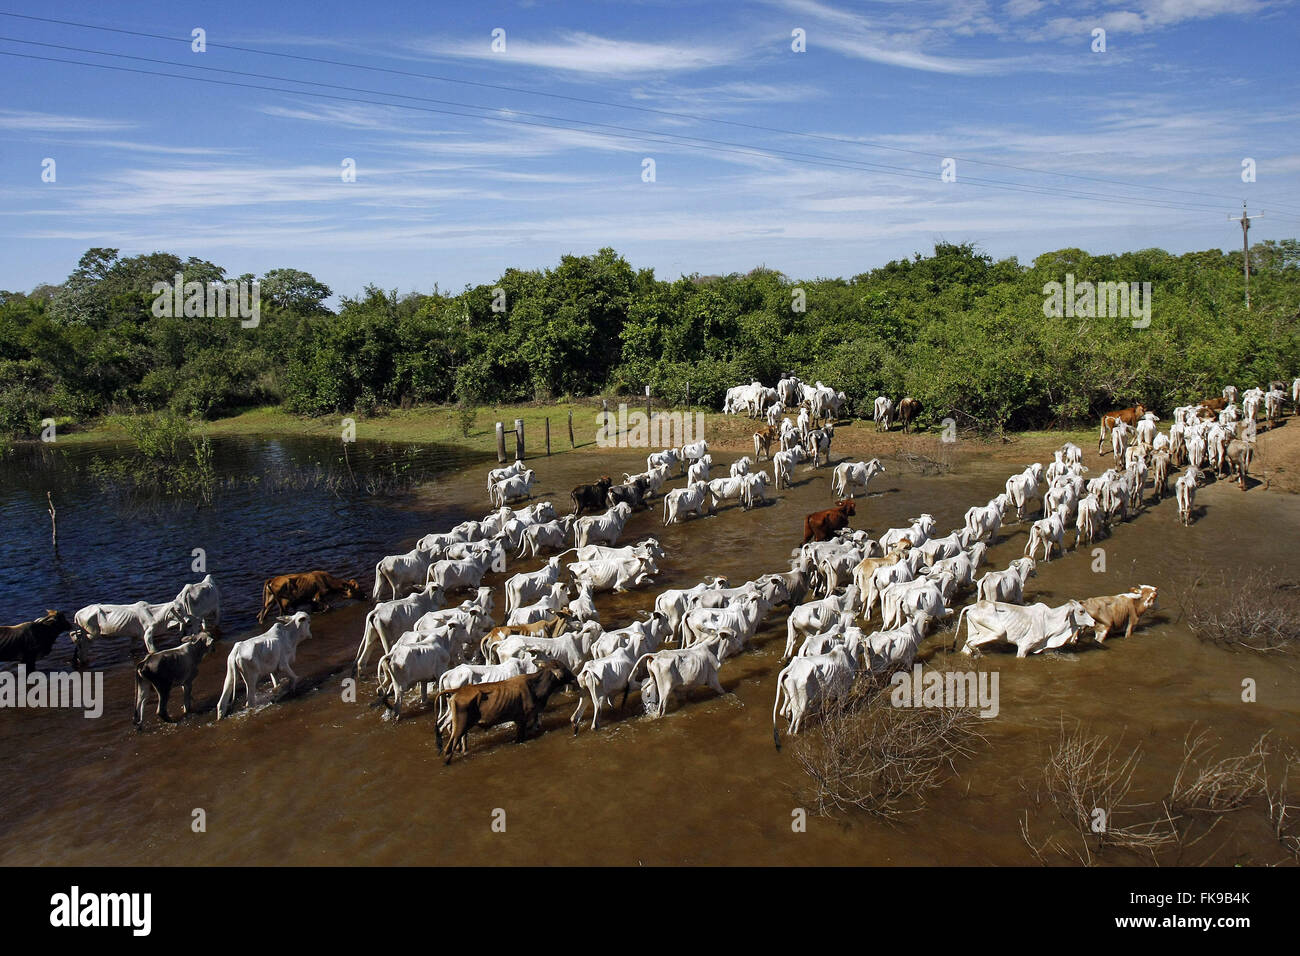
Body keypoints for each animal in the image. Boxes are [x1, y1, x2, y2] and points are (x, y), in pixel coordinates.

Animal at [434, 661, 574, 763]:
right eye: (564, 668)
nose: (574, 677)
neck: (534, 686)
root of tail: (458, 691)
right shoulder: (522, 720)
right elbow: (519, 738)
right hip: (460, 726)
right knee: (449, 746)